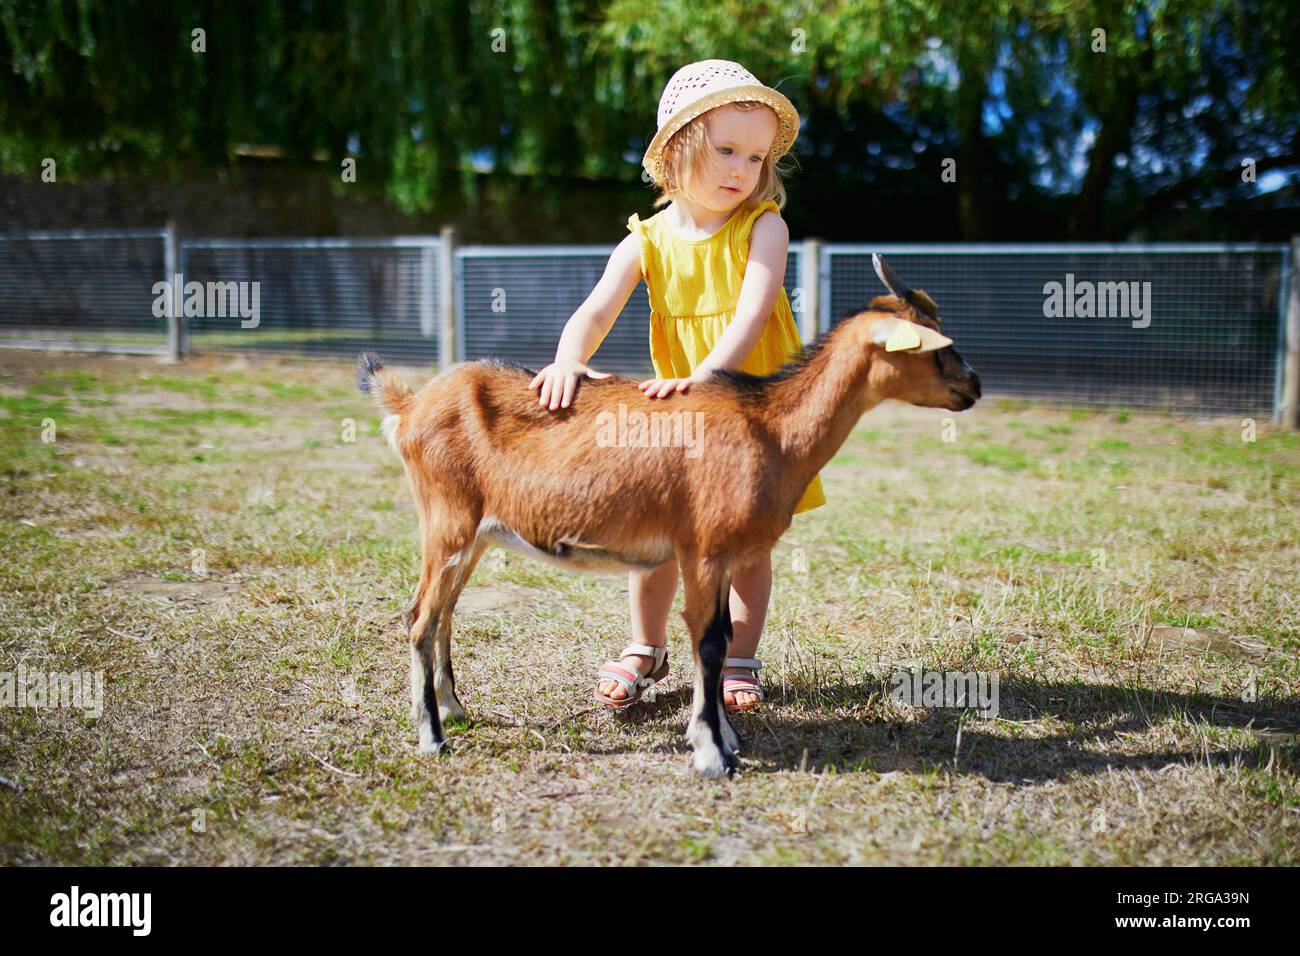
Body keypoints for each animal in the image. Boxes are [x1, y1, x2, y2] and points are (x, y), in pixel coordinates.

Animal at [357, 254, 981, 777]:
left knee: (441, 613)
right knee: (420, 617)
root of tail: (409, 407)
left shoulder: (721, 554)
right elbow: (707, 641)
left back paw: (456, 710)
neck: (771, 428)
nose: (973, 385)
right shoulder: (703, 547)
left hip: (476, 532)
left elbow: (724, 636)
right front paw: (711, 753)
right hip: (448, 520)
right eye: (933, 344)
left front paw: (728, 737)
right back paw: (433, 738)